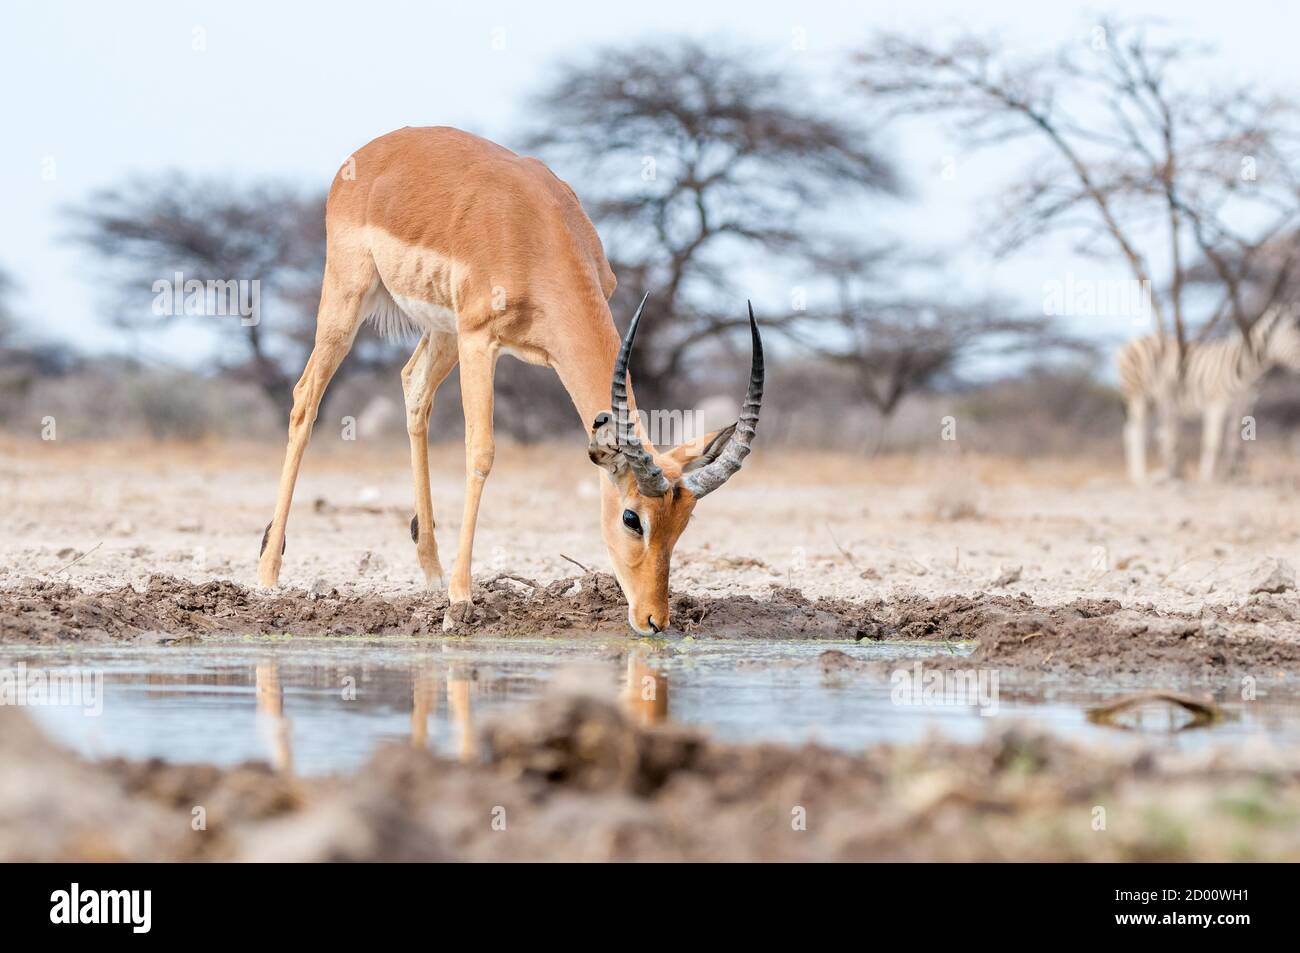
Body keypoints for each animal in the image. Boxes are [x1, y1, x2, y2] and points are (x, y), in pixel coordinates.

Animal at [256, 127, 763, 634]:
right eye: (631, 518)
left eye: (684, 522)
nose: (654, 619)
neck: (537, 231)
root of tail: (370, 151)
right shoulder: (480, 340)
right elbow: (481, 452)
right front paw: (462, 598)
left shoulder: (472, 335)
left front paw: (450, 588)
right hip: (350, 300)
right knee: (305, 398)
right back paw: (268, 572)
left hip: (442, 329)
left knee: (413, 387)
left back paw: (431, 571)